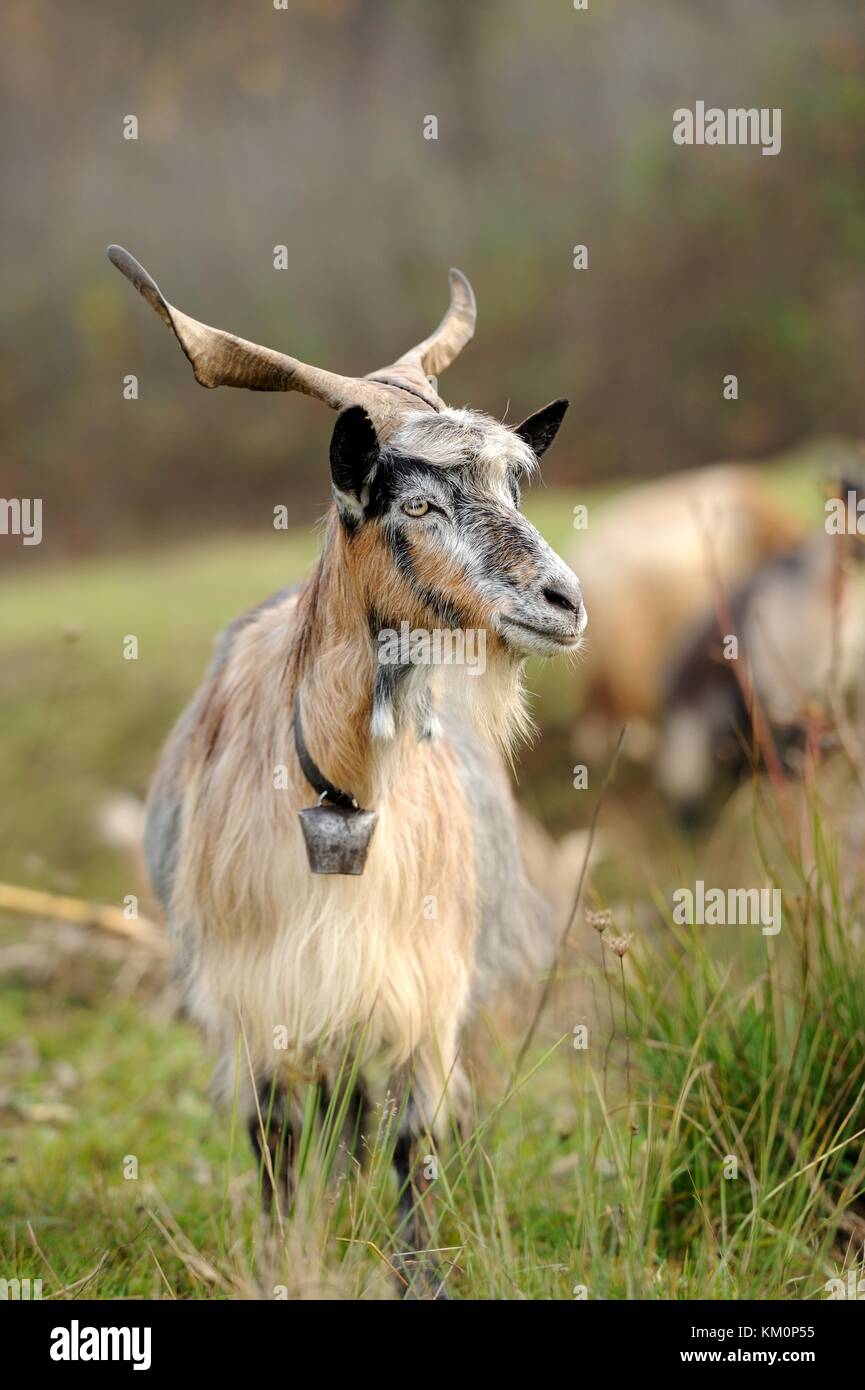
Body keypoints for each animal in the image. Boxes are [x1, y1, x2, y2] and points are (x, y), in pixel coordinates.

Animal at [108, 245, 585, 1292]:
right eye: (417, 502)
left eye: (515, 488)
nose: (565, 601)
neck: (336, 791)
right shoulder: (259, 1003)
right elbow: (277, 1159)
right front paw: (290, 1263)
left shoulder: (417, 993)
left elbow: (416, 1155)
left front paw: (422, 1277)